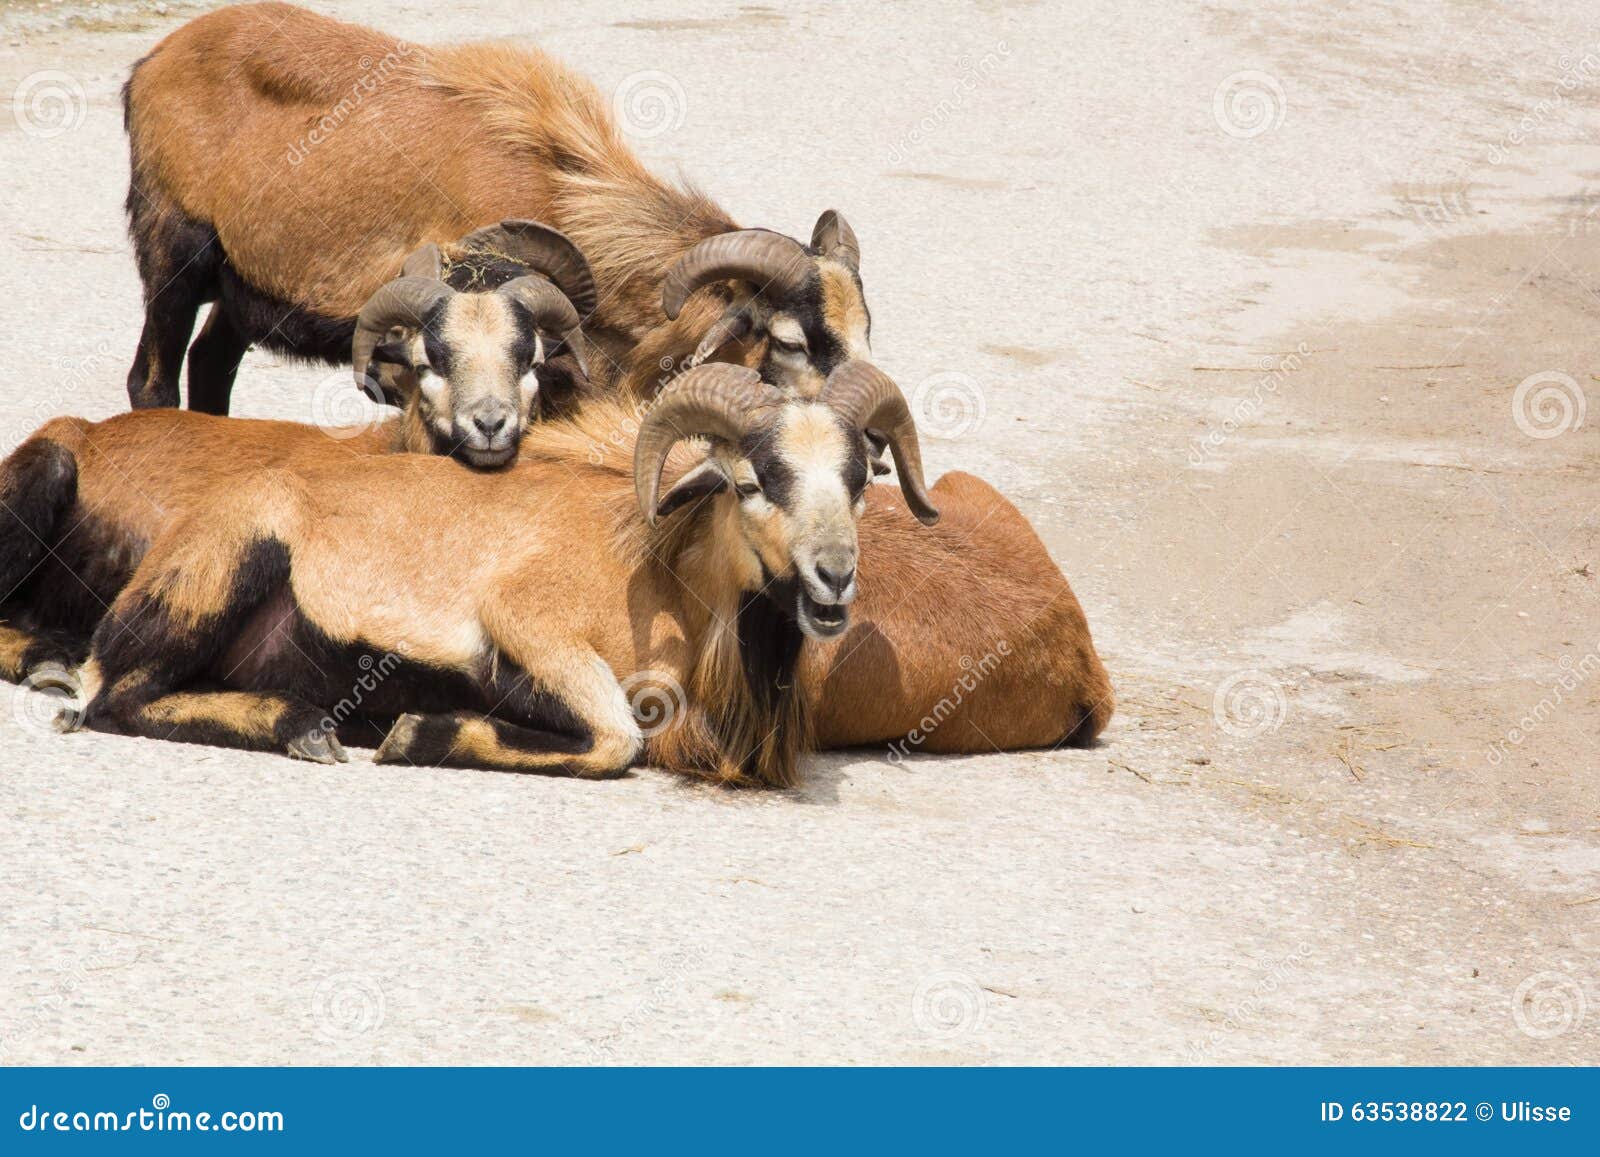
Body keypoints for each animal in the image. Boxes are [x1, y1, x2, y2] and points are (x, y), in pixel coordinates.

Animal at [55, 363, 940, 786]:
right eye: (753, 481)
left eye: (859, 479)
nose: (833, 579)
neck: (666, 588)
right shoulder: (529, 624)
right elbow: (617, 740)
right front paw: (414, 732)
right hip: (225, 573)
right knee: (114, 699)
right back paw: (305, 725)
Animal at [122, 3, 877, 412]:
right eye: (788, 341)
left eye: (866, 330)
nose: (869, 439)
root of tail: (152, 62)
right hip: (173, 254)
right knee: (152, 383)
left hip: (244, 290)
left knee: (209, 368)